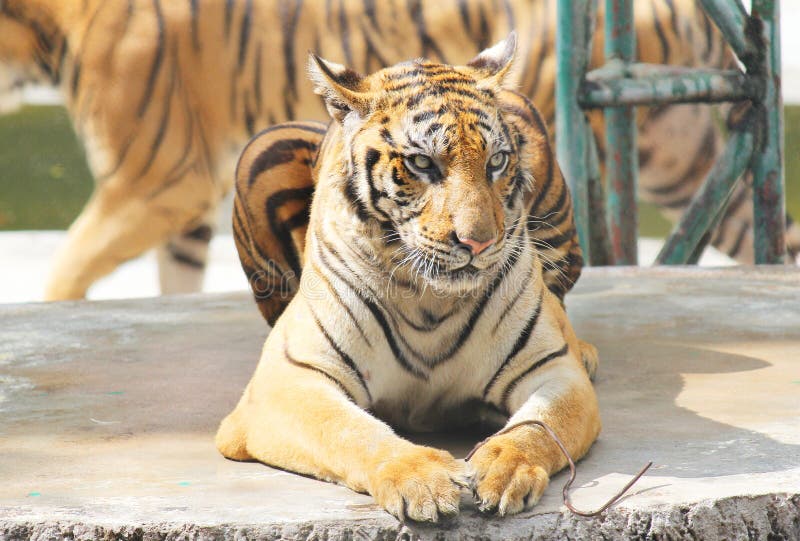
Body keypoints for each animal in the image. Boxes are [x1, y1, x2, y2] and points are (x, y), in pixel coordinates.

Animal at [215, 34, 602, 521]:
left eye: (496, 161)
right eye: (422, 163)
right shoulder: (289, 380)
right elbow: (352, 431)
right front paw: (422, 480)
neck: (427, 298)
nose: (478, 242)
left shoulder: (552, 370)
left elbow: (539, 425)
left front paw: (504, 468)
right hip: (260, 150)